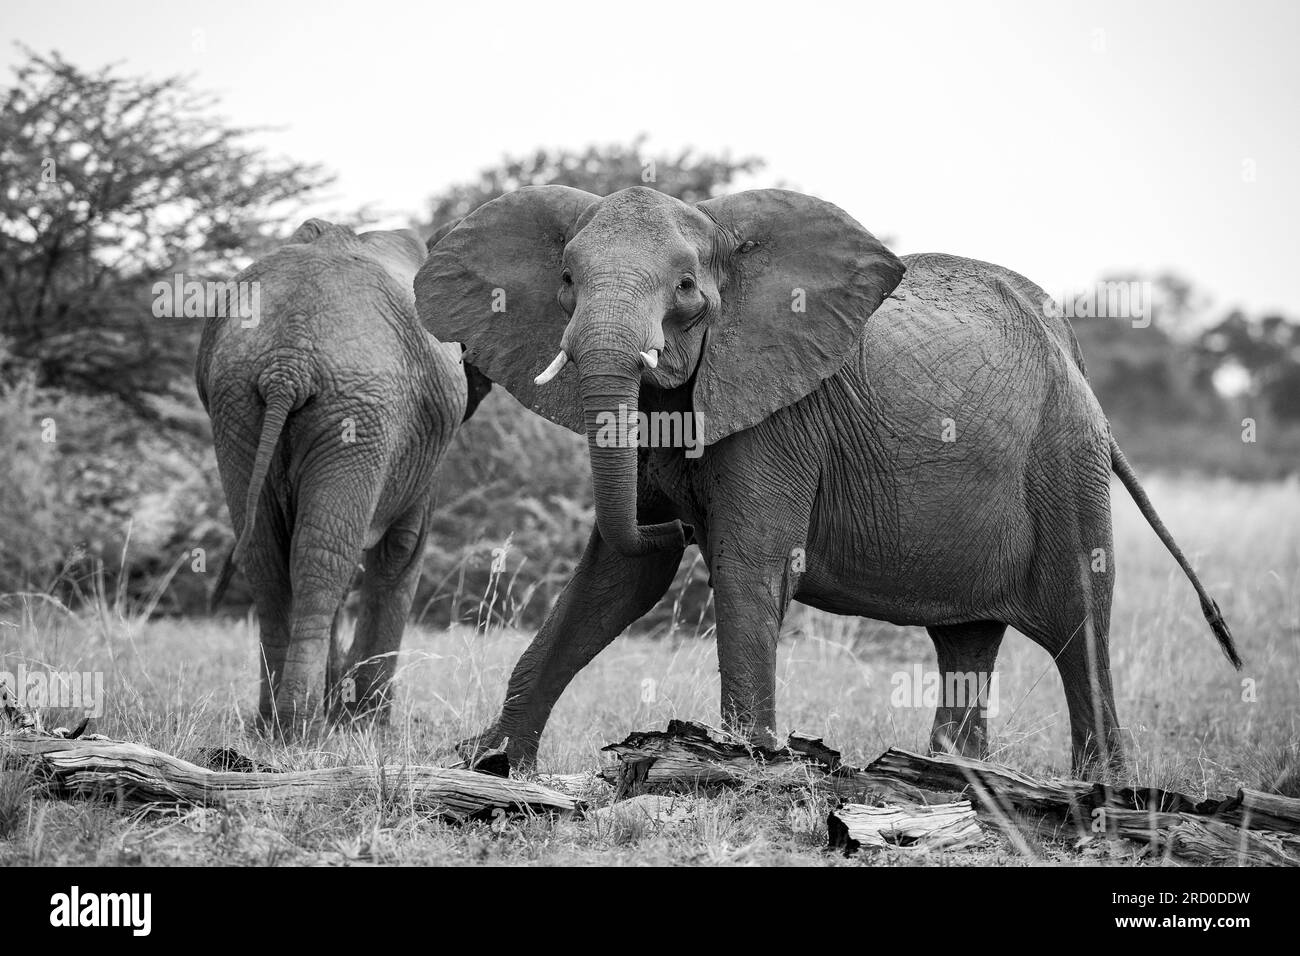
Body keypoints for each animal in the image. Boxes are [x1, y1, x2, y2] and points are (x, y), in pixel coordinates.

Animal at [196, 219, 489, 733]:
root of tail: (287, 362)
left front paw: (347, 710)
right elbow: (402, 550)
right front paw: (367, 722)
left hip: (239, 401)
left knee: (273, 555)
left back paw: (273, 724)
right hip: (360, 406)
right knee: (322, 557)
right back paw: (300, 728)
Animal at [414, 185, 1241, 777]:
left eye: (686, 288)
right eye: (564, 279)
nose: (676, 519)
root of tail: (1075, 355)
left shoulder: (784, 416)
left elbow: (750, 566)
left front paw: (741, 767)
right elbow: (619, 576)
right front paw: (487, 762)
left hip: (1066, 458)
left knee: (1080, 626)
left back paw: (1099, 794)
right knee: (968, 639)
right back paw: (950, 780)